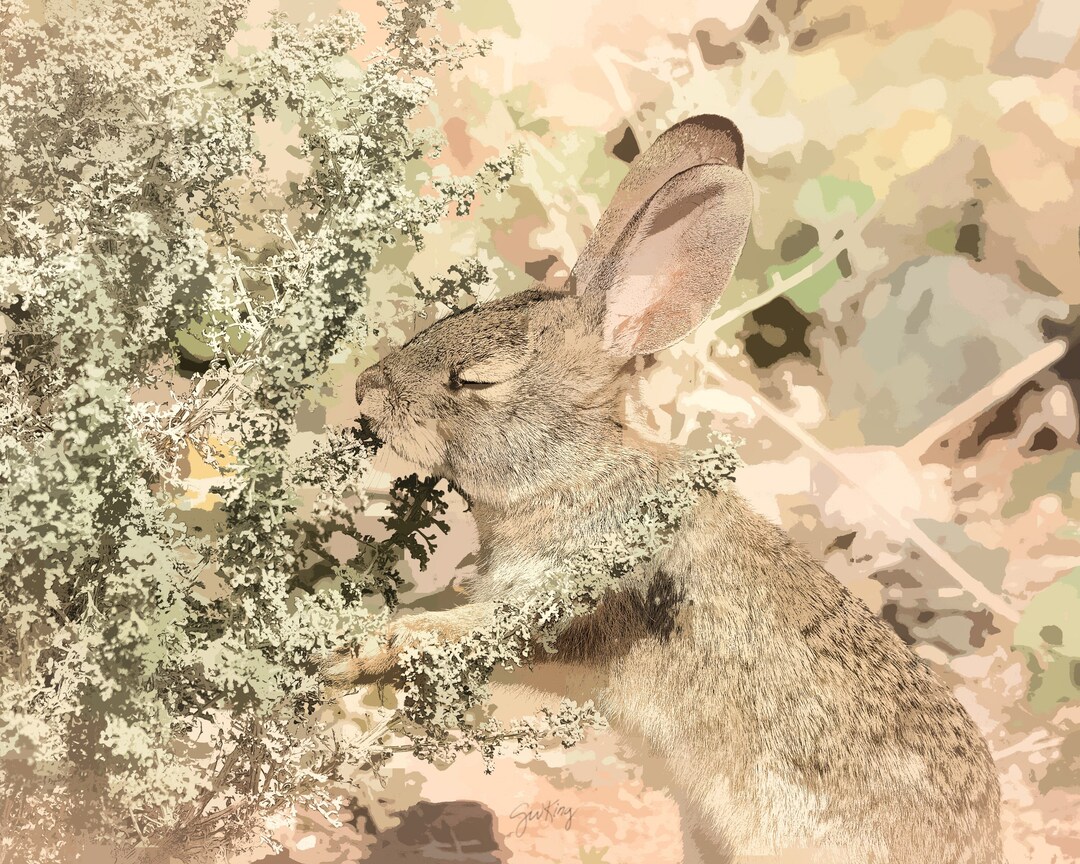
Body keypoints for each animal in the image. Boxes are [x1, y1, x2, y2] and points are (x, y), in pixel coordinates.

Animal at [327, 115, 1003, 864]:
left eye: (475, 379)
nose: (368, 391)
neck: (575, 469)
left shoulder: (562, 607)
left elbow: (461, 633)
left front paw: (360, 654)